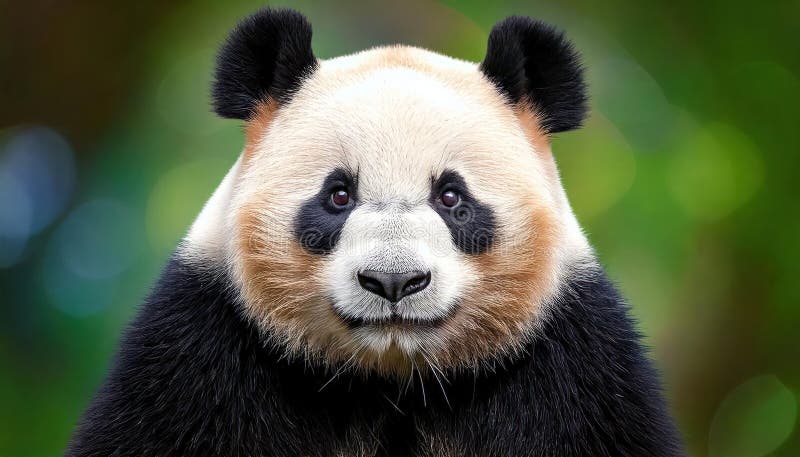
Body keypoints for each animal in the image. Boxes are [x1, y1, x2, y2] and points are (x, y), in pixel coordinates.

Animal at [67, 8, 684, 457]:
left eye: (452, 198)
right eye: (338, 195)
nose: (393, 283)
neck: (392, 380)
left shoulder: (573, 373)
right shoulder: (199, 358)